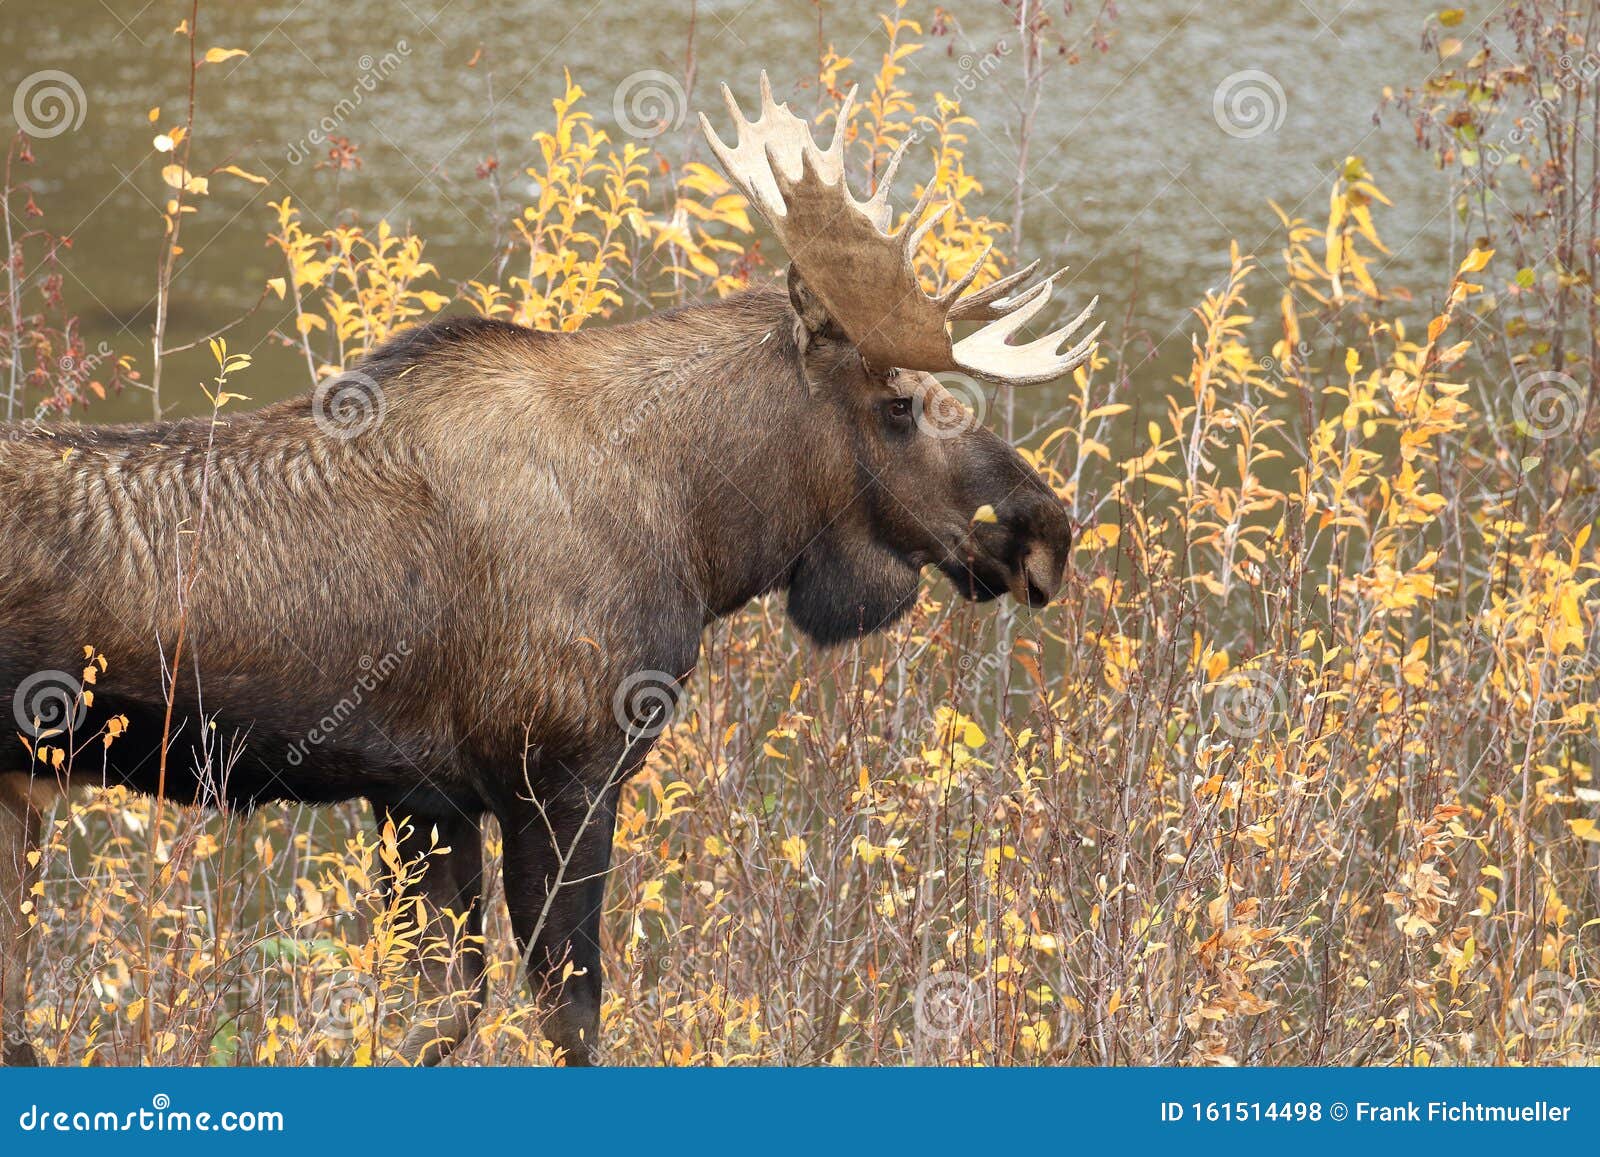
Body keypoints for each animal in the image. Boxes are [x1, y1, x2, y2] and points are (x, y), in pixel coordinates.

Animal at [0, 74, 1101, 1066]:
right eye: (901, 402)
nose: (1046, 527)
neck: (698, 527)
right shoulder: (560, 773)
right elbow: (569, 1013)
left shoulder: (423, 797)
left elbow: (436, 1010)